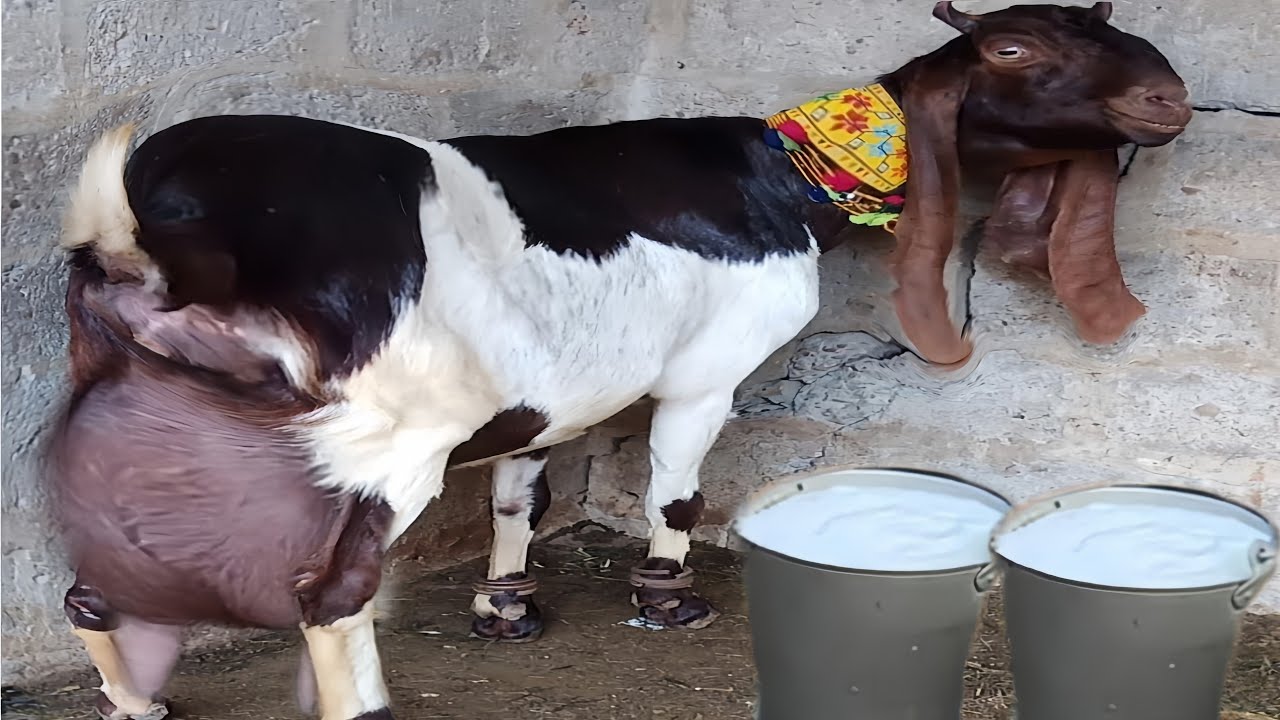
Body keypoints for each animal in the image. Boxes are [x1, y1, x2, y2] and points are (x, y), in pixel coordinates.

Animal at [48, 3, 1191, 718]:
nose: (1168, 99)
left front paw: (507, 608)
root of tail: (152, 236)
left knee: (94, 591)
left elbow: (522, 495)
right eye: (1011, 47)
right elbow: (675, 492)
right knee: (329, 592)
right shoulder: (705, 374)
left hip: (134, 430)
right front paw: (669, 598)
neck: (784, 175)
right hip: (387, 439)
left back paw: (140, 701)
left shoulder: (545, 396)